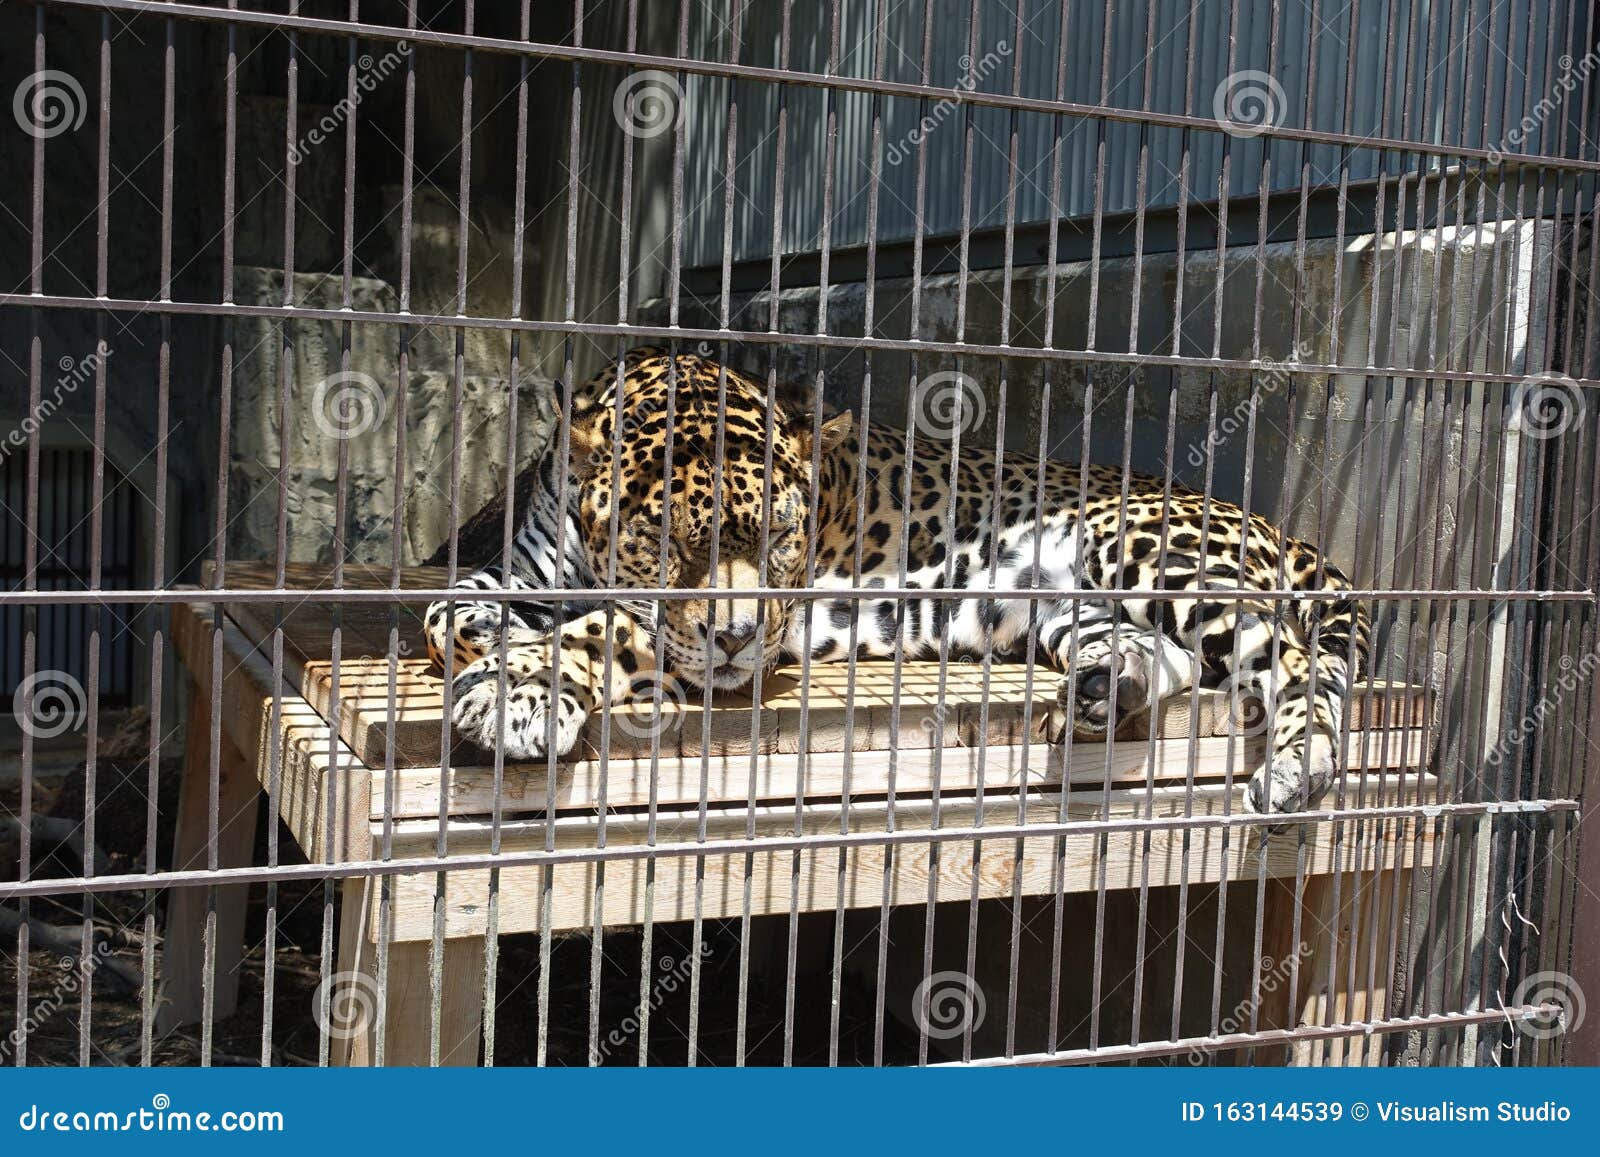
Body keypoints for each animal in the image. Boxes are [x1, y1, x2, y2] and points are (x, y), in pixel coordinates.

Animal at [424, 345, 1370, 817]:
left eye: (782, 539)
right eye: (662, 542)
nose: (735, 639)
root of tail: (1276, 523)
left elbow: (609, 627)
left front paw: (519, 685)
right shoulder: (524, 568)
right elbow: (447, 609)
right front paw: (500, 644)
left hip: (1146, 548)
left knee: (1296, 665)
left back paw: (1300, 767)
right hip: (1063, 603)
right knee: (1164, 658)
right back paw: (1111, 688)